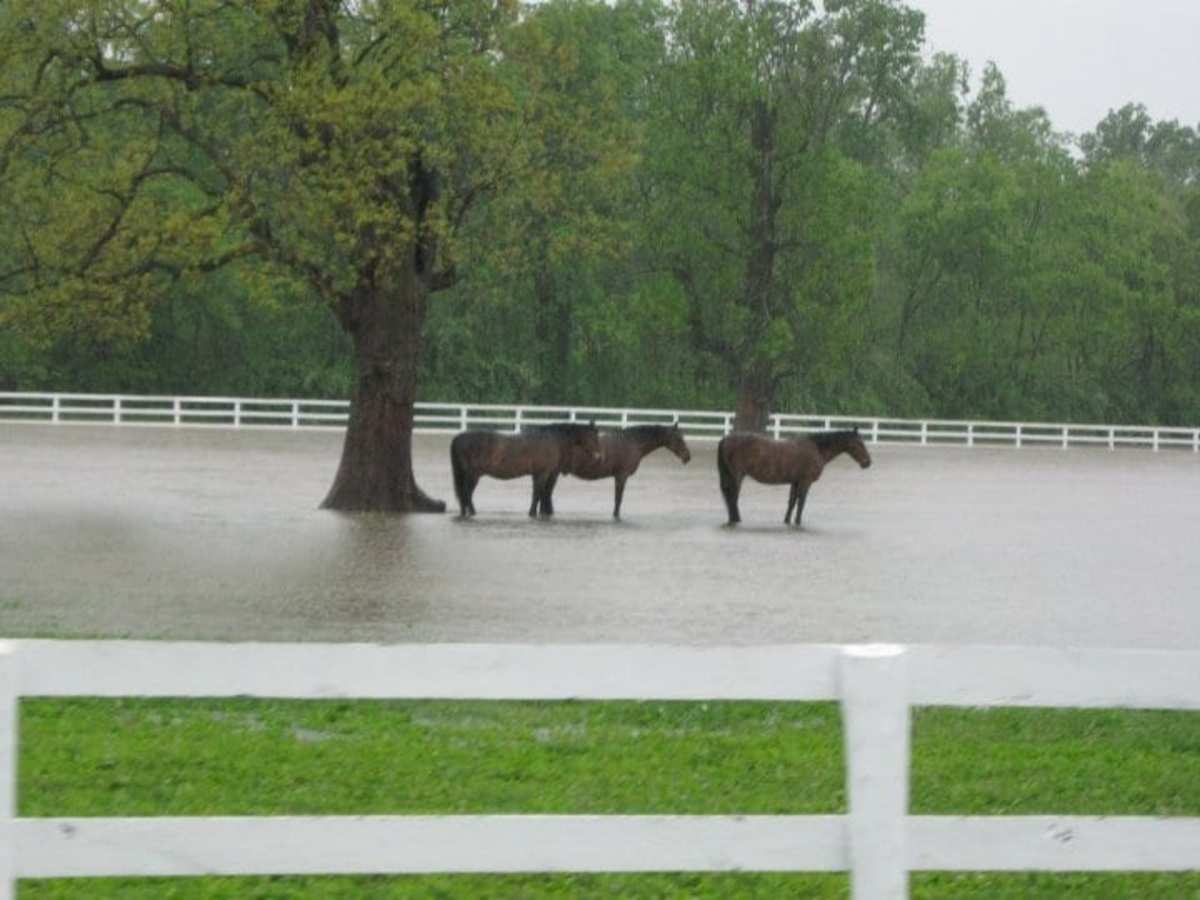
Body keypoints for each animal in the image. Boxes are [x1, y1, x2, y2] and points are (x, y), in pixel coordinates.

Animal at [450, 422, 601, 518]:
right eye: (593, 437)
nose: (599, 455)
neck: (552, 440)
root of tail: (458, 438)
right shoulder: (542, 474)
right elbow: (538, 494)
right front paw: (533, 513)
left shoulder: (542, 474)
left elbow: (542, 494)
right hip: (472, 475)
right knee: (466, 493)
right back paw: (472, 513)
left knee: (465, 494)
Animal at [716, 429, 871, 527]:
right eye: (858, 443)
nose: (868, 462)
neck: (816, 449)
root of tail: (726, 439)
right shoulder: (805, 482)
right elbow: (801, 502)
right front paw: (798, 522)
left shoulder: (795, 482)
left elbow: (792, 502)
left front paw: (787, 521)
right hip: (737, 475)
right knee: (732, 497)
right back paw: (735, 520)